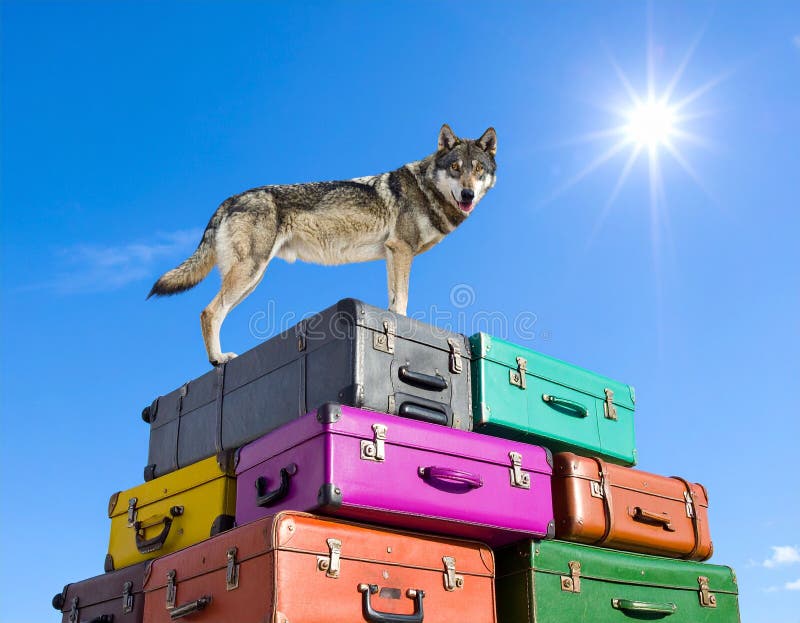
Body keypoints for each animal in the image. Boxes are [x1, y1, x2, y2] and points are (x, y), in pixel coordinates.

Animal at [148, 124, 497, 365]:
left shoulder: (392, 254)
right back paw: (218, 359)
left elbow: (393, 301)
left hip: (252, 278)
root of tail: (230, 198)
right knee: (209, 312)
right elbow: (401, 304)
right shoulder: (401, 250)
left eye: (478, 170)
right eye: (456, 168)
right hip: (250, 272)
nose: (467, 194)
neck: (427, 189)